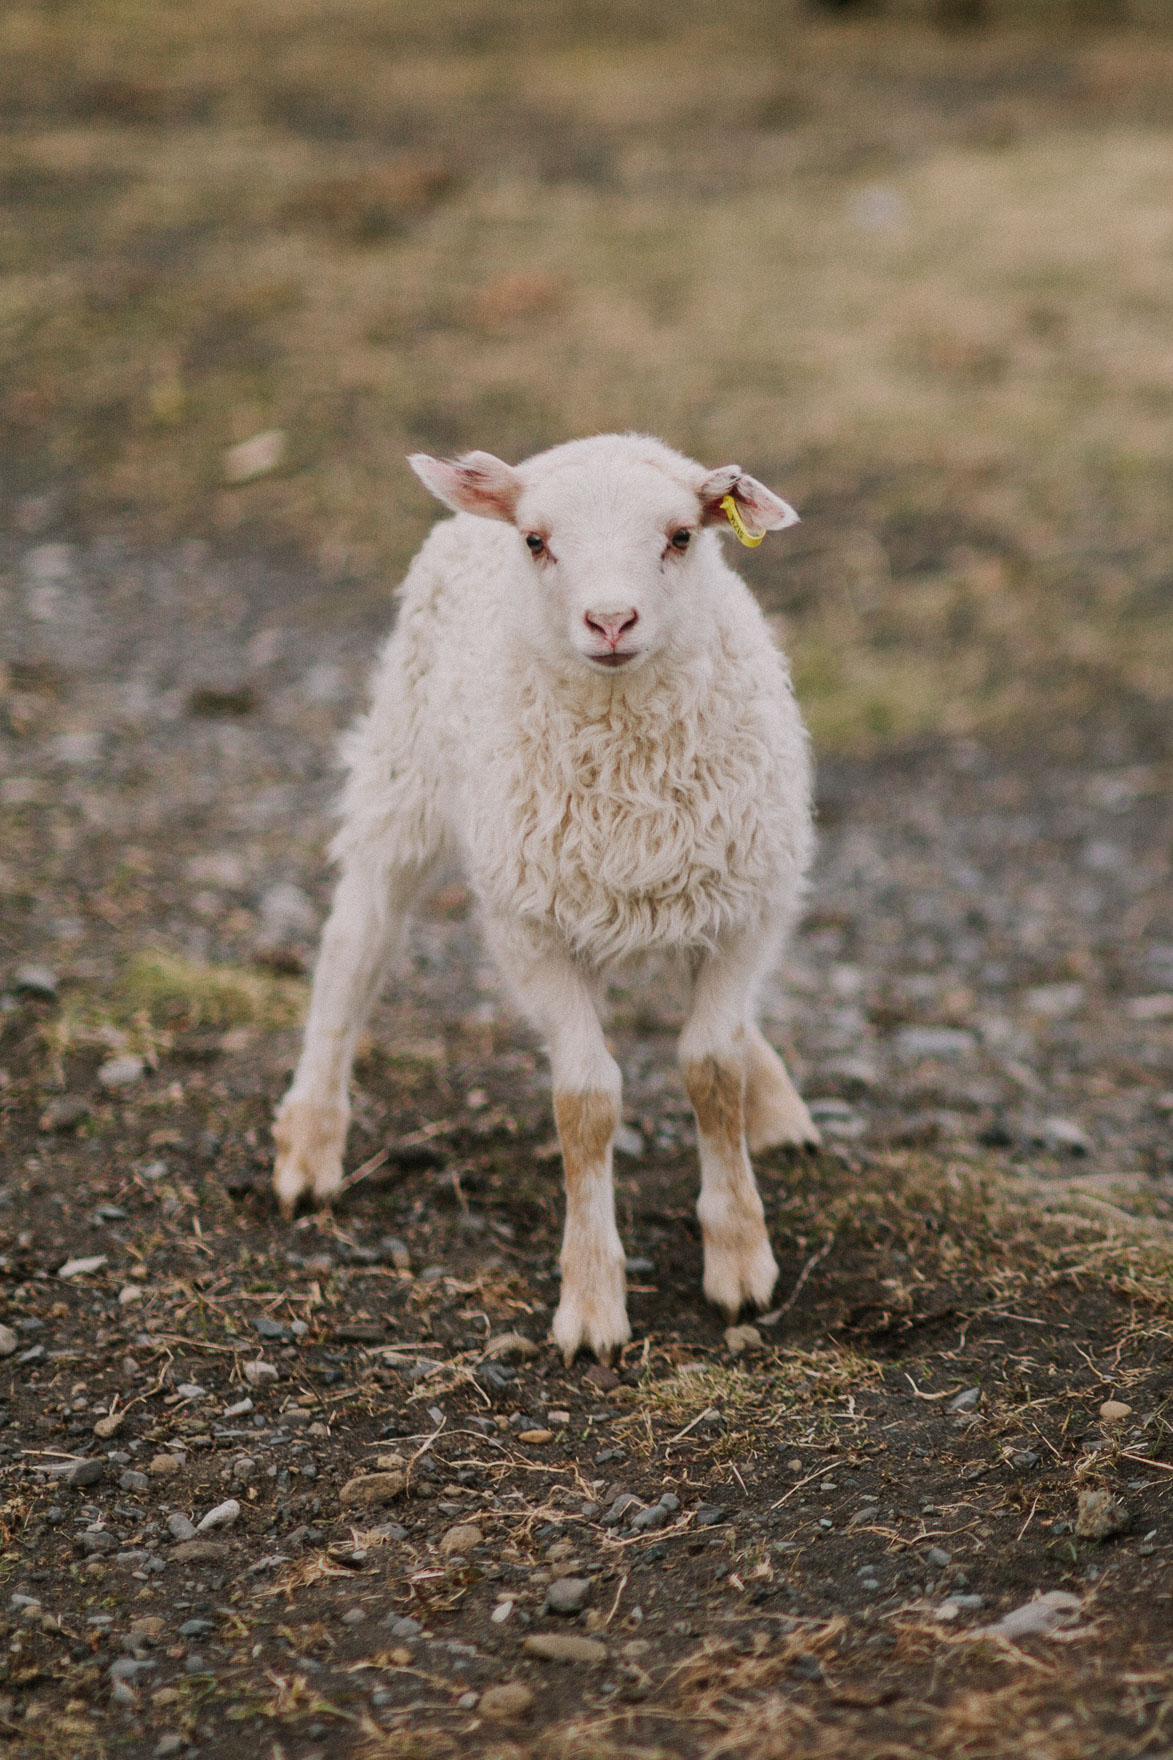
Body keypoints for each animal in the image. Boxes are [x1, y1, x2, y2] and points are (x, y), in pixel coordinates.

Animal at [273, 432, 819, 1363]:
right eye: (536, 541)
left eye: (681, 535)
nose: (610, 623)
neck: (627, 755)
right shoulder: (532, 927)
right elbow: (585, 1103)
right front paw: (593, 1303)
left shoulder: (745, 906)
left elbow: (712, 1068)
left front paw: (740, 1259)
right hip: (403, 774)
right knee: (355, 943)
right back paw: (310, 1142)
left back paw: (775, 1103)